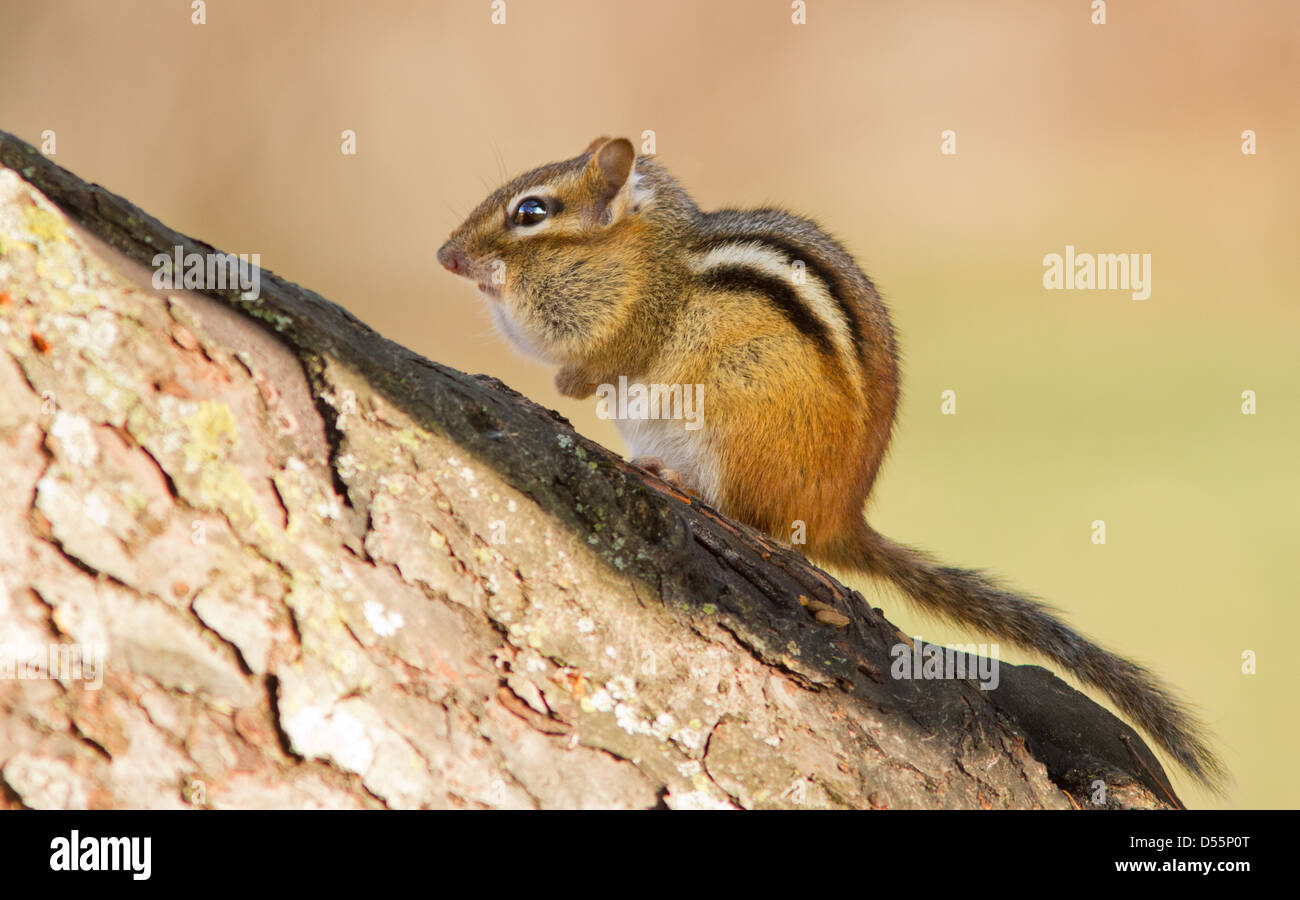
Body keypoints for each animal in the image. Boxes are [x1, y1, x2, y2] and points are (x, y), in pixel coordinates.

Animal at [437, 136, 1225, 791]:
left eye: (531, 212)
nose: (446, 257)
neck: (641, 251)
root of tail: (837, 517)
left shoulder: (631, 321)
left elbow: (603, 357)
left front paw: (567, 380)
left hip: (736, 417)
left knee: (738, 508)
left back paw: (675, 477)